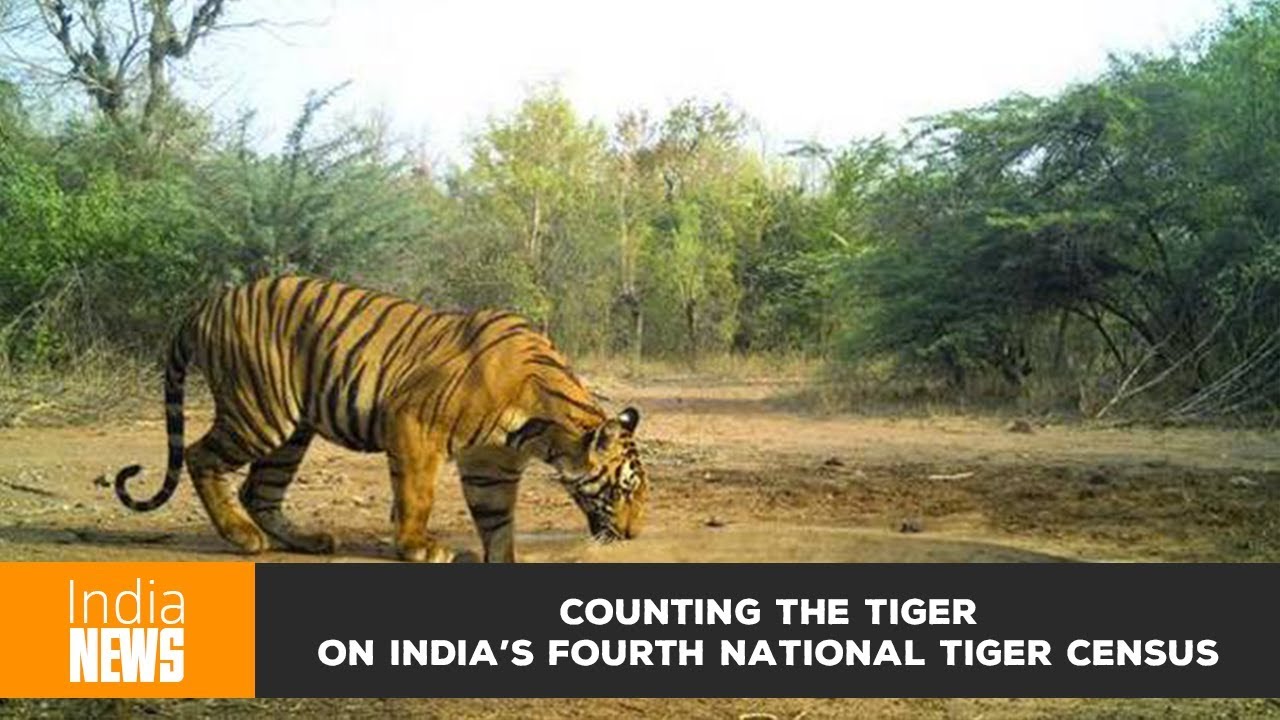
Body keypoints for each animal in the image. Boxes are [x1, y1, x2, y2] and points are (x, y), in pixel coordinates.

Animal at [113, 276, 647, 563]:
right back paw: (243, 537)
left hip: (291, 433)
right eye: (622, 490)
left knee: (258, 490)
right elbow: (416, 495)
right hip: (260, 413)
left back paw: (307, 540)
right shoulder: (414, 424)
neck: (538, 431)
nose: (634, 536)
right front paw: (417, 547)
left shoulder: (490, 464)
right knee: (201, 456)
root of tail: (206, 304)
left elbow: (497, 522)